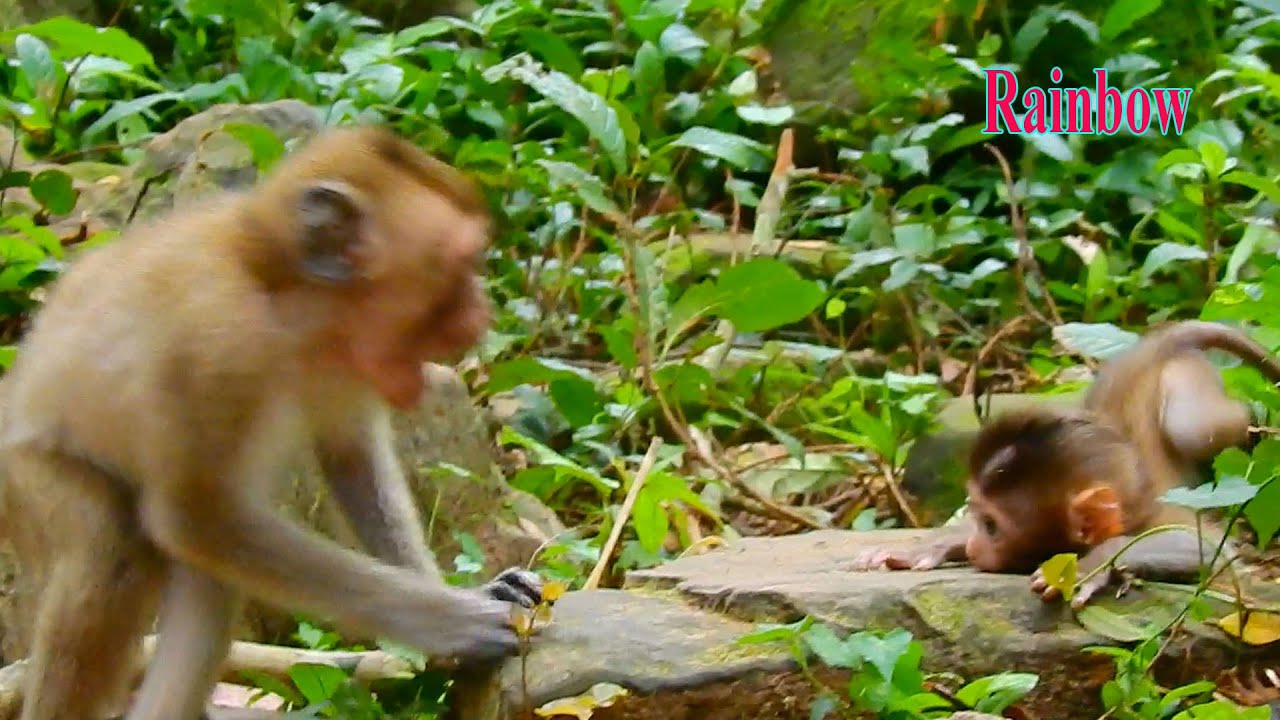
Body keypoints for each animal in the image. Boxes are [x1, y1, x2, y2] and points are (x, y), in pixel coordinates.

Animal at [0, 125, 545, 720]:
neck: (284, 296)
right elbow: (193, 518)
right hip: (24, 477)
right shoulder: (216, 339)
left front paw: (469, 597)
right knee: (114, 547)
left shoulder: (348, 361)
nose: (483, 311)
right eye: (464, 264)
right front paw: (453, 622)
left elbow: (351, 461)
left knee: (210, 584)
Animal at [849, 320, 1280, 608]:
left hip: (1187, 382)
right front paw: (933, 545)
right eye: (975, 515)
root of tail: (1159, 344)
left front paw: (1091, 564)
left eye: (992, 527)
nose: (973, 547)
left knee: (1196, 428)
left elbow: (1206, 550)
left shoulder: (1158, 517)